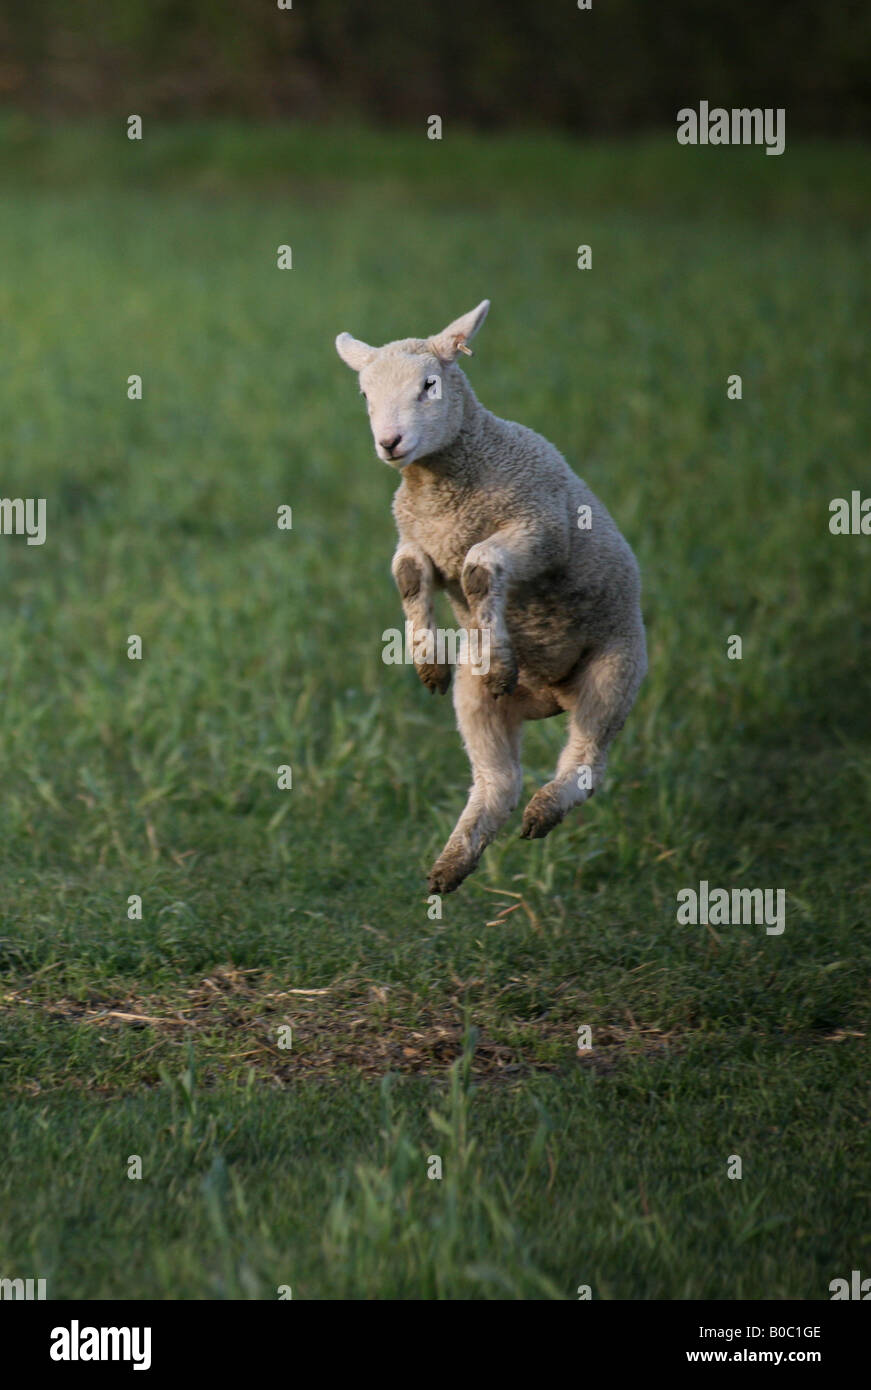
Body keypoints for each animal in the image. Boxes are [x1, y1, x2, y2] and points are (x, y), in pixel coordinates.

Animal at [335, 300, 647, 894]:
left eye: (429, 385)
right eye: (363, 394)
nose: (389, 443)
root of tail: (548, 699)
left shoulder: (541, 528)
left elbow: (480, 569)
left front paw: (498, 654)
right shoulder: (418, 541)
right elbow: (408, 576)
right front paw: (427, 660)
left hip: (615, 668)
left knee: (588, 759)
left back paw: (546, 808)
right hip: (475, 699)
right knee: (498, 780)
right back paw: (453, 864)